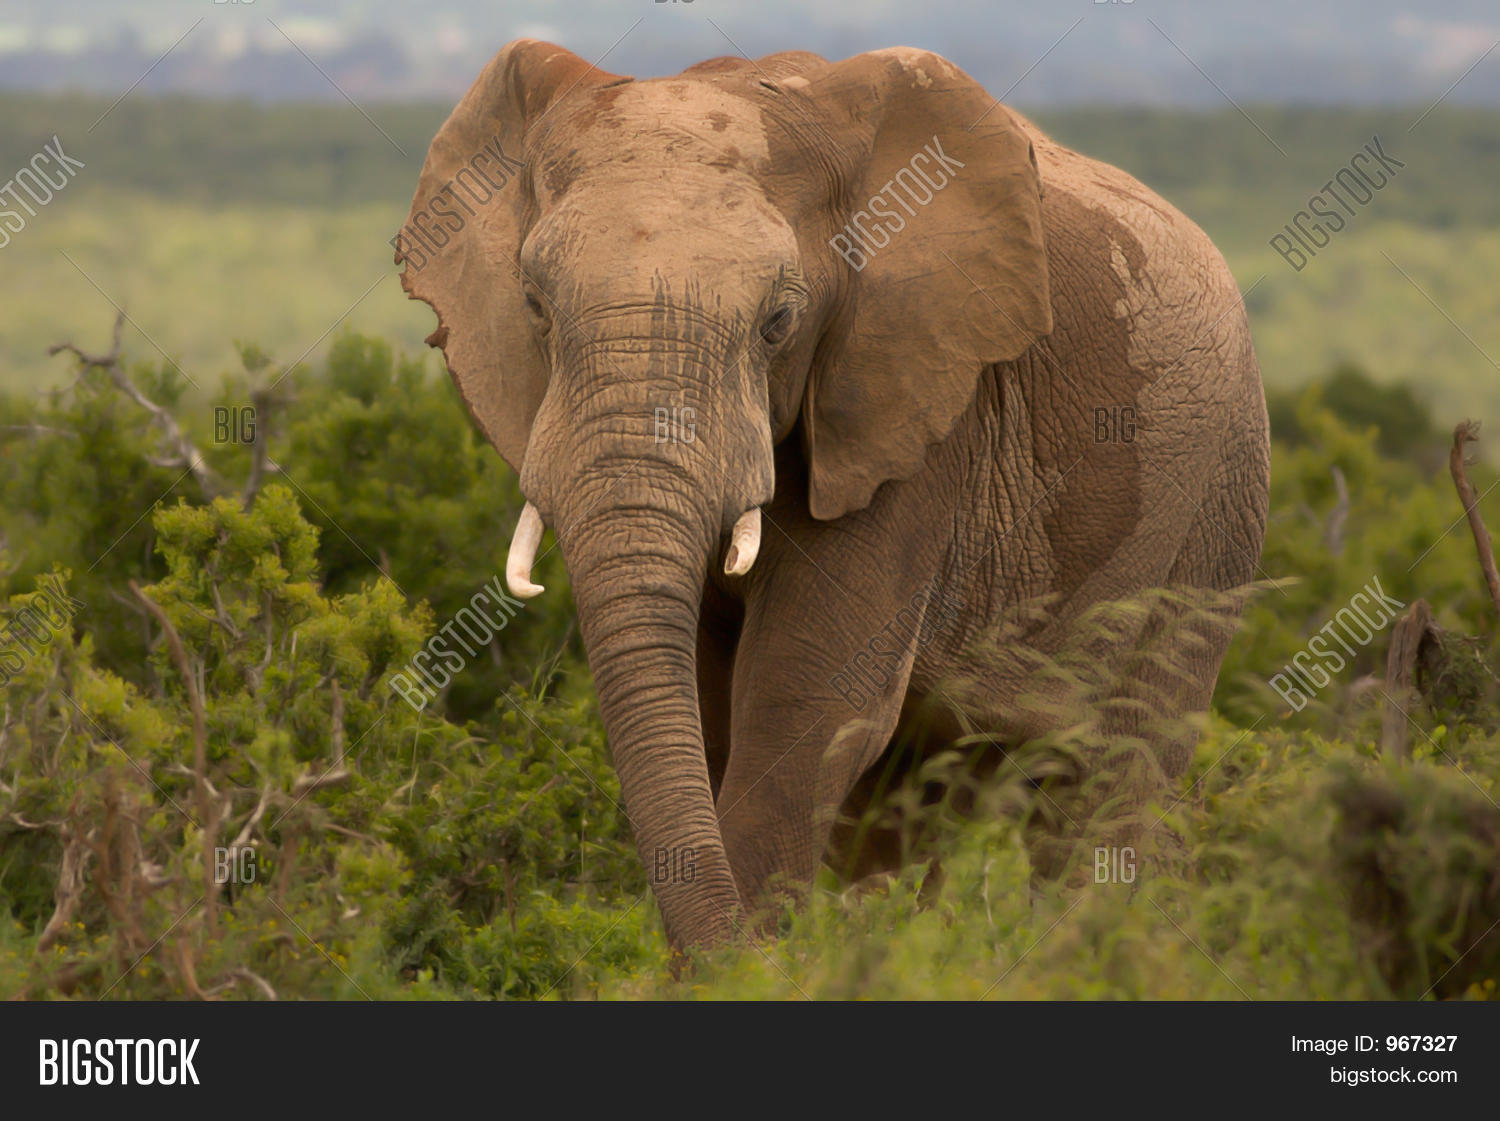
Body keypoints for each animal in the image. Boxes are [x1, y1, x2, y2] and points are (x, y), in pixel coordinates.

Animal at [394, 40, 1270, 952]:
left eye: (780, 321)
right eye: (535, 306)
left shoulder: (918, 410)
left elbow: (807, 695)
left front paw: (750, 968)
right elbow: (709, 702)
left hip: (1218, 499)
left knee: (1113, 775)